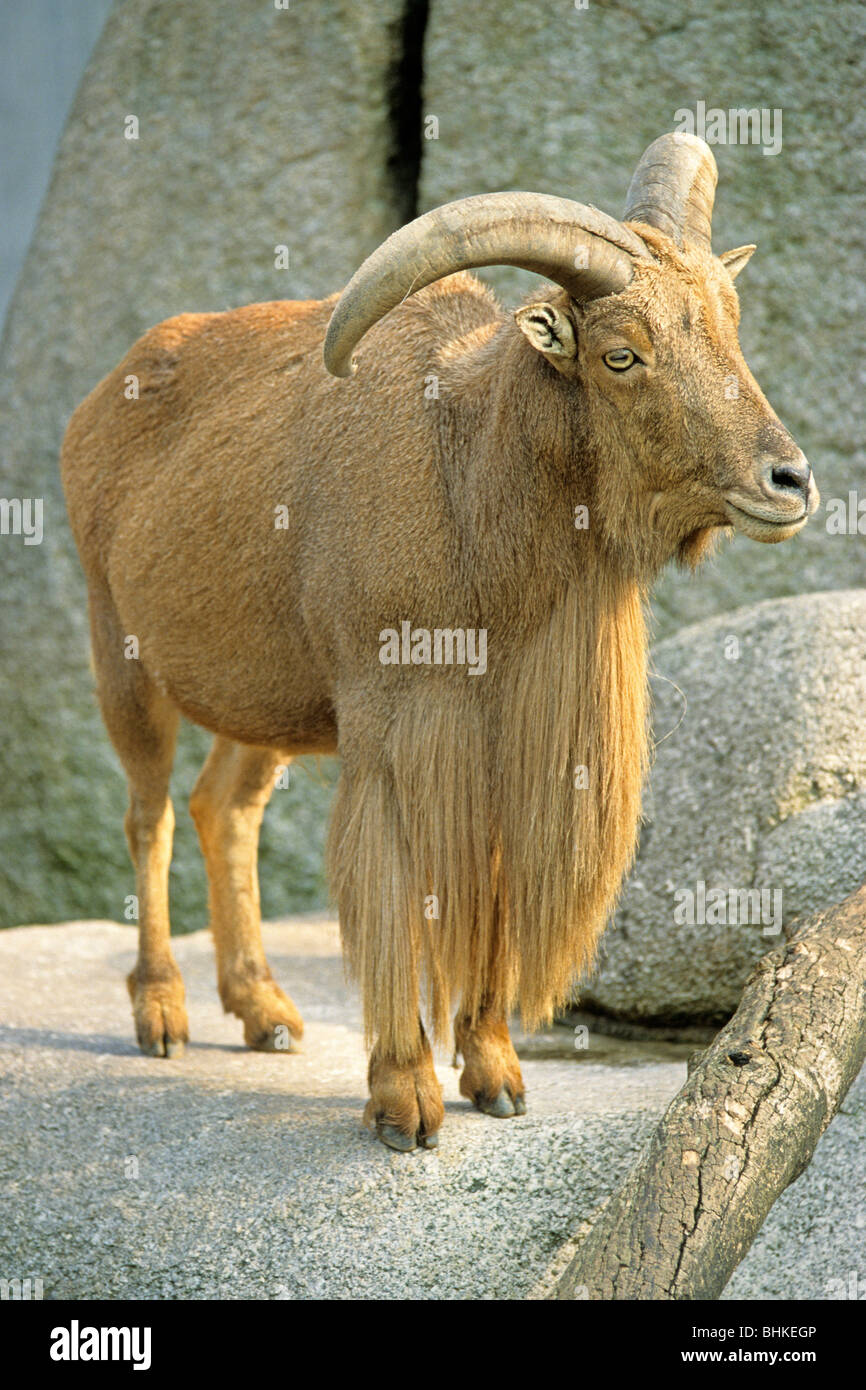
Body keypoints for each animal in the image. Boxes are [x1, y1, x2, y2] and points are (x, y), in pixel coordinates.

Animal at [60, 132, 818, 1151]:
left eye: (730, 327)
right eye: (622, 354)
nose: (789, 480)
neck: (468, 479)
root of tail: (104, 396)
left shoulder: (500, 733)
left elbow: (489, 880)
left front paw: (496, 1074)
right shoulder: (388, 717)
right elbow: (387, 879)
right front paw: (404, 1099)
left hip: (267, 699)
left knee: (227, 808)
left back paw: (264, 1010)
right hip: (122, 651)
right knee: (150, 815)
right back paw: (161, 1012)